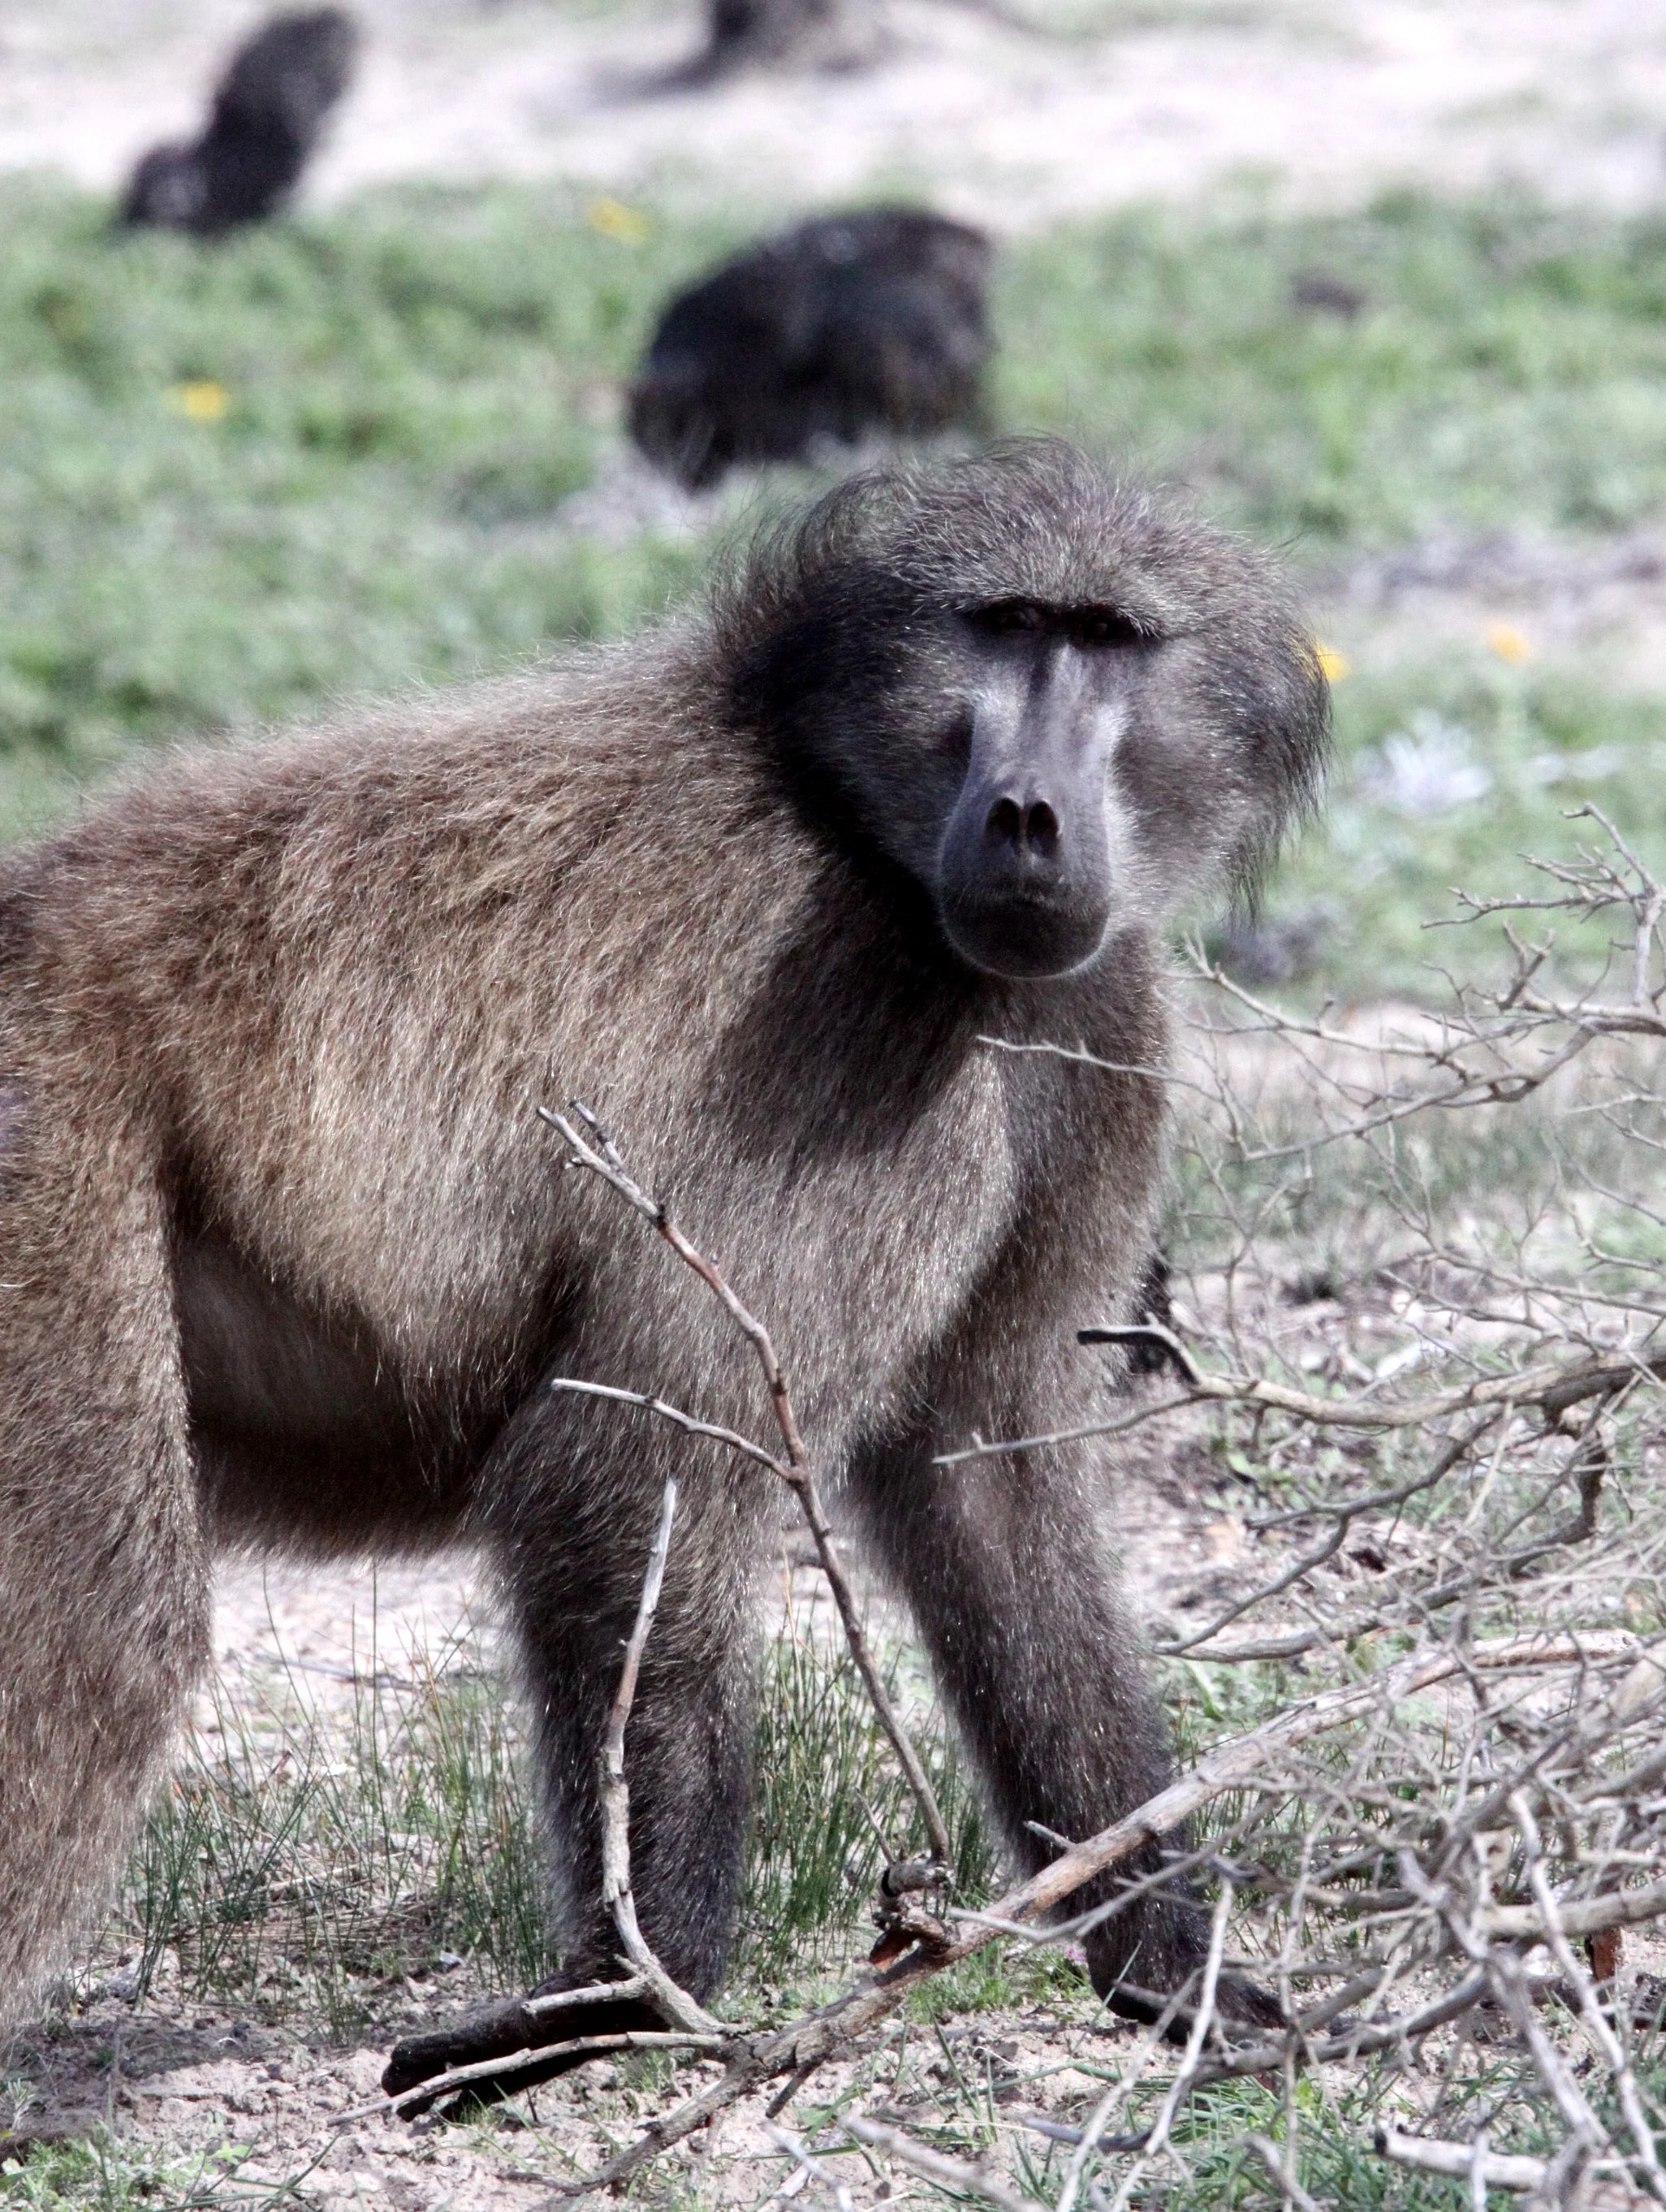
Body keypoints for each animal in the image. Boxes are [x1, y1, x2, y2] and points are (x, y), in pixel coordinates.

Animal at [0, 440, 1327, 2105]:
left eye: (1107, 638)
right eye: (1006, 627)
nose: (1027, 813)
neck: (863, 834)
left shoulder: (1092, 1031)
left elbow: (982, 1477)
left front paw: (1168, 1961)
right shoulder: (847, 1044)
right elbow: (628, 1466)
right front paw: (628, 1995)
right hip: (47, 1131)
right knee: (99, 1636)